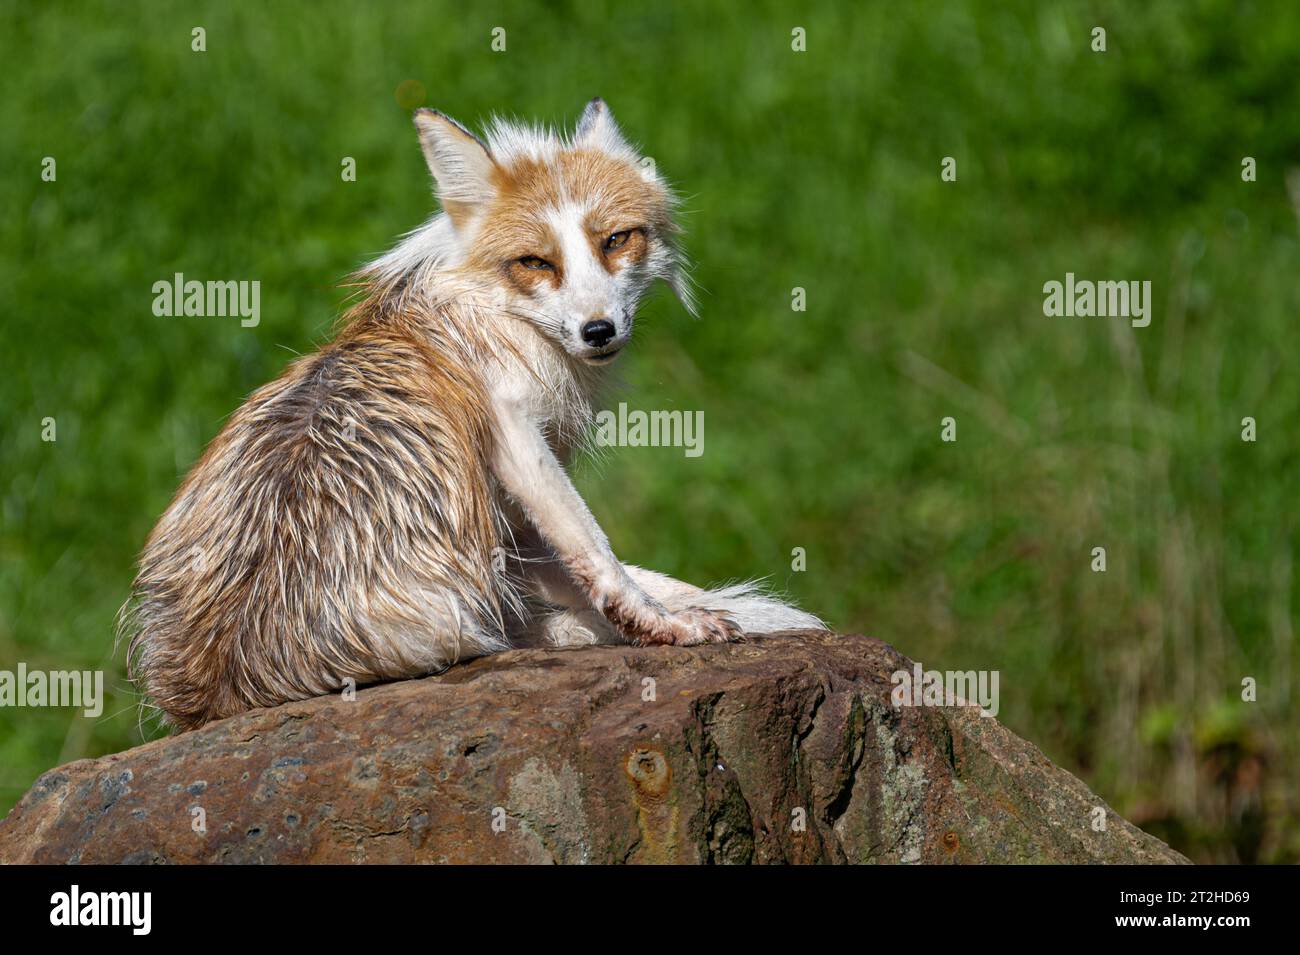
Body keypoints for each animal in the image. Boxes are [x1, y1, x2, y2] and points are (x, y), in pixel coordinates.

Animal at [121, 98, 825, 731]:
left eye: (616, 240)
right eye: (536, 262)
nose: (598, 330)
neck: (492, 309)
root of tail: (215, 688)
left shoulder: (507, 513)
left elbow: (629, 572)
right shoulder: (513, 434)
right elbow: (600, 558)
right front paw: (665, 624)